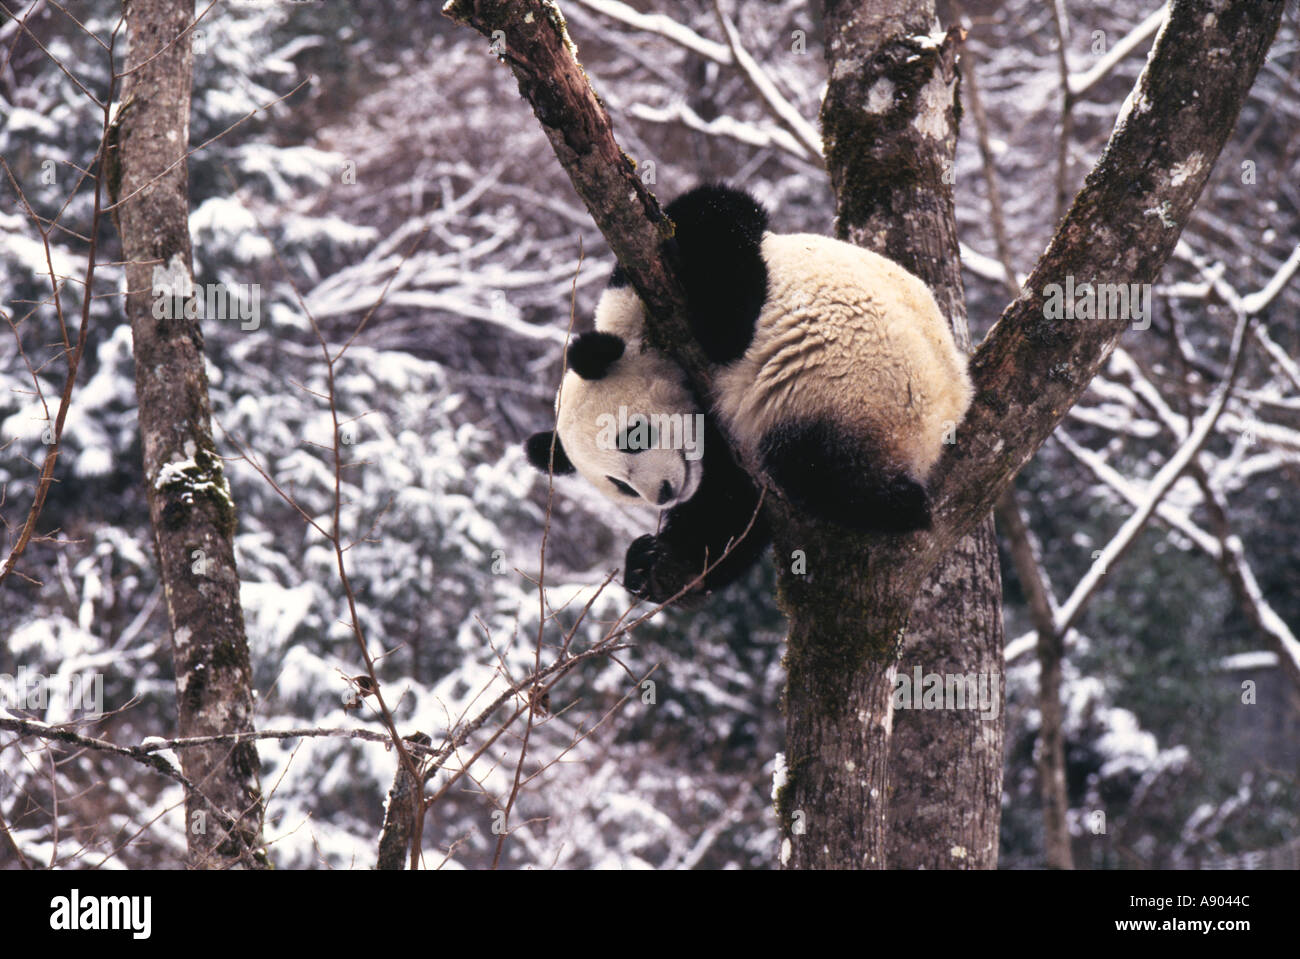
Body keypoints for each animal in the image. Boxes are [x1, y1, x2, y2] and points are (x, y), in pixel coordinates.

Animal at [526, 184, 972, 604]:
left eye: (634, 436)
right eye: (620, 486)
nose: (663, 494)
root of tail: (950, 409)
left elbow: (718, 224)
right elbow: (731, 509)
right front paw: (655, 567)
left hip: (857, 389)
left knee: (811, 464)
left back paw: (897, 503)